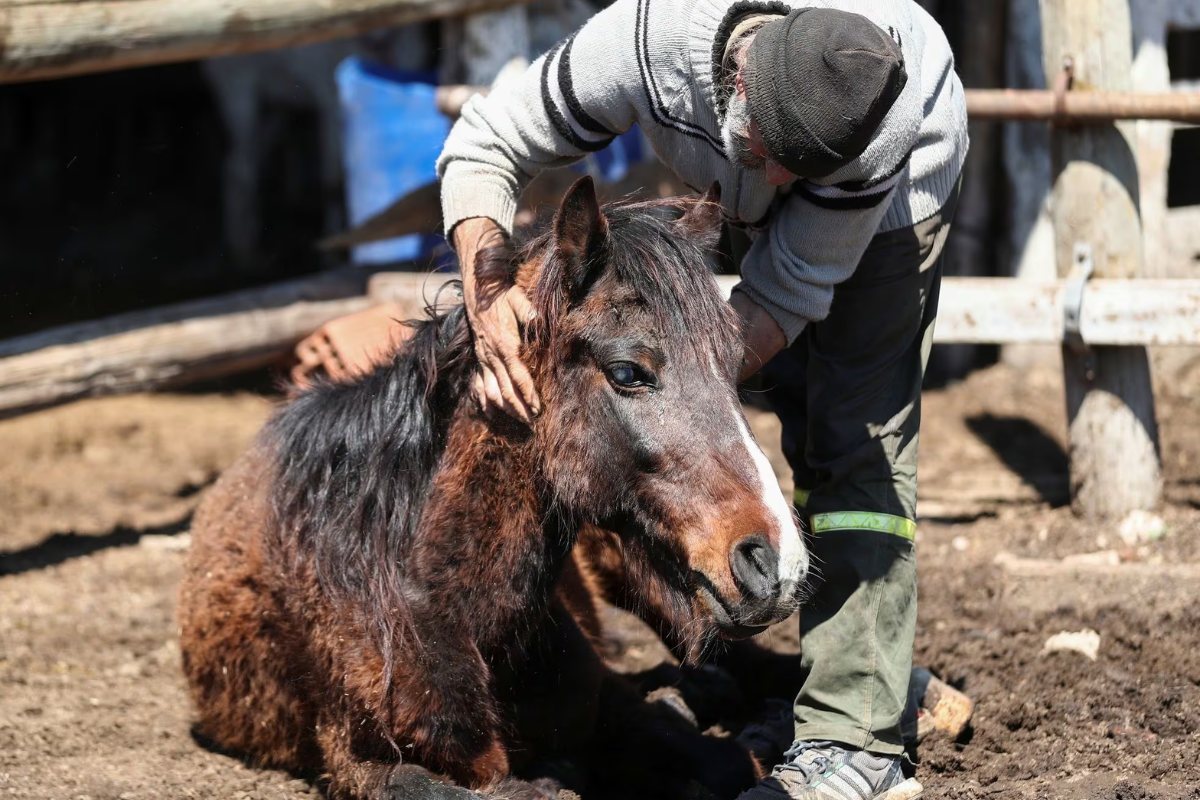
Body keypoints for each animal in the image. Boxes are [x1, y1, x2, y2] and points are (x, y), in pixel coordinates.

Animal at [178, 176, 809, 800]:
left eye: (735, 363)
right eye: (628, 371)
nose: (777, 563)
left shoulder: (609, 704)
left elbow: (721, 762)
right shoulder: (364, 760)